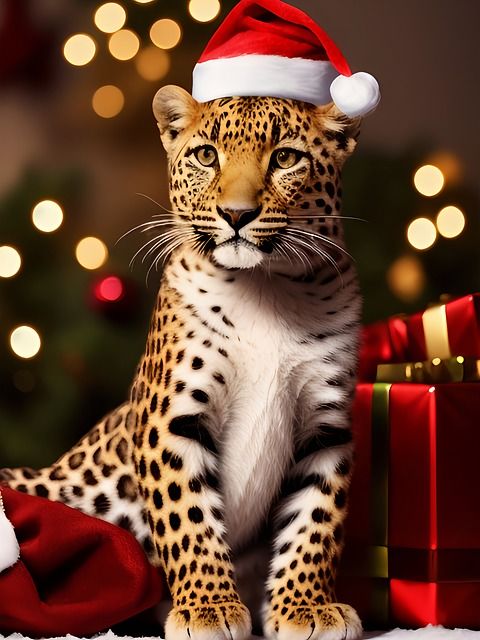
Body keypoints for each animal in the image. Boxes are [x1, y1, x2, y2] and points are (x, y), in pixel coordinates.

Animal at [1, 85, 363, 640]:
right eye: (206, 155)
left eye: (285, 158)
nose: (236, 214)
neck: (267, 289)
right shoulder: (172, 417)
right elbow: (187, 515)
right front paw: (209, 608)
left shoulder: (326, 425)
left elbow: (316, 521)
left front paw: (306, 607)